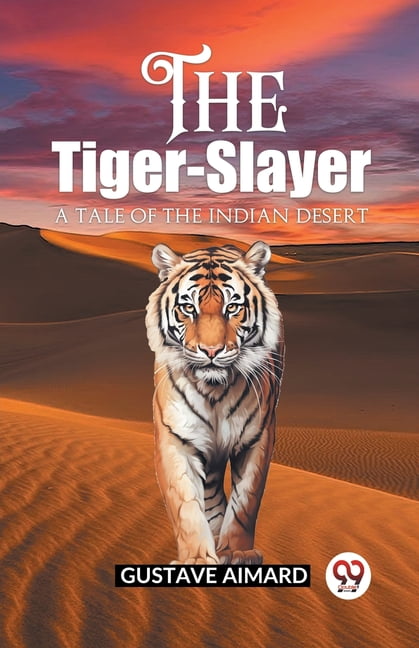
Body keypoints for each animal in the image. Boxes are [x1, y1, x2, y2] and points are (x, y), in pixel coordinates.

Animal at [145, 241, 284, 565]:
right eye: (188, 308)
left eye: (232, 307)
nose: (211, 351)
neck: (214, 391)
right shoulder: (176, 439)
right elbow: (186, 506)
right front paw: (196, 558)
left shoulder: (257, 438)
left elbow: (245, 501)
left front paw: (237, 552)